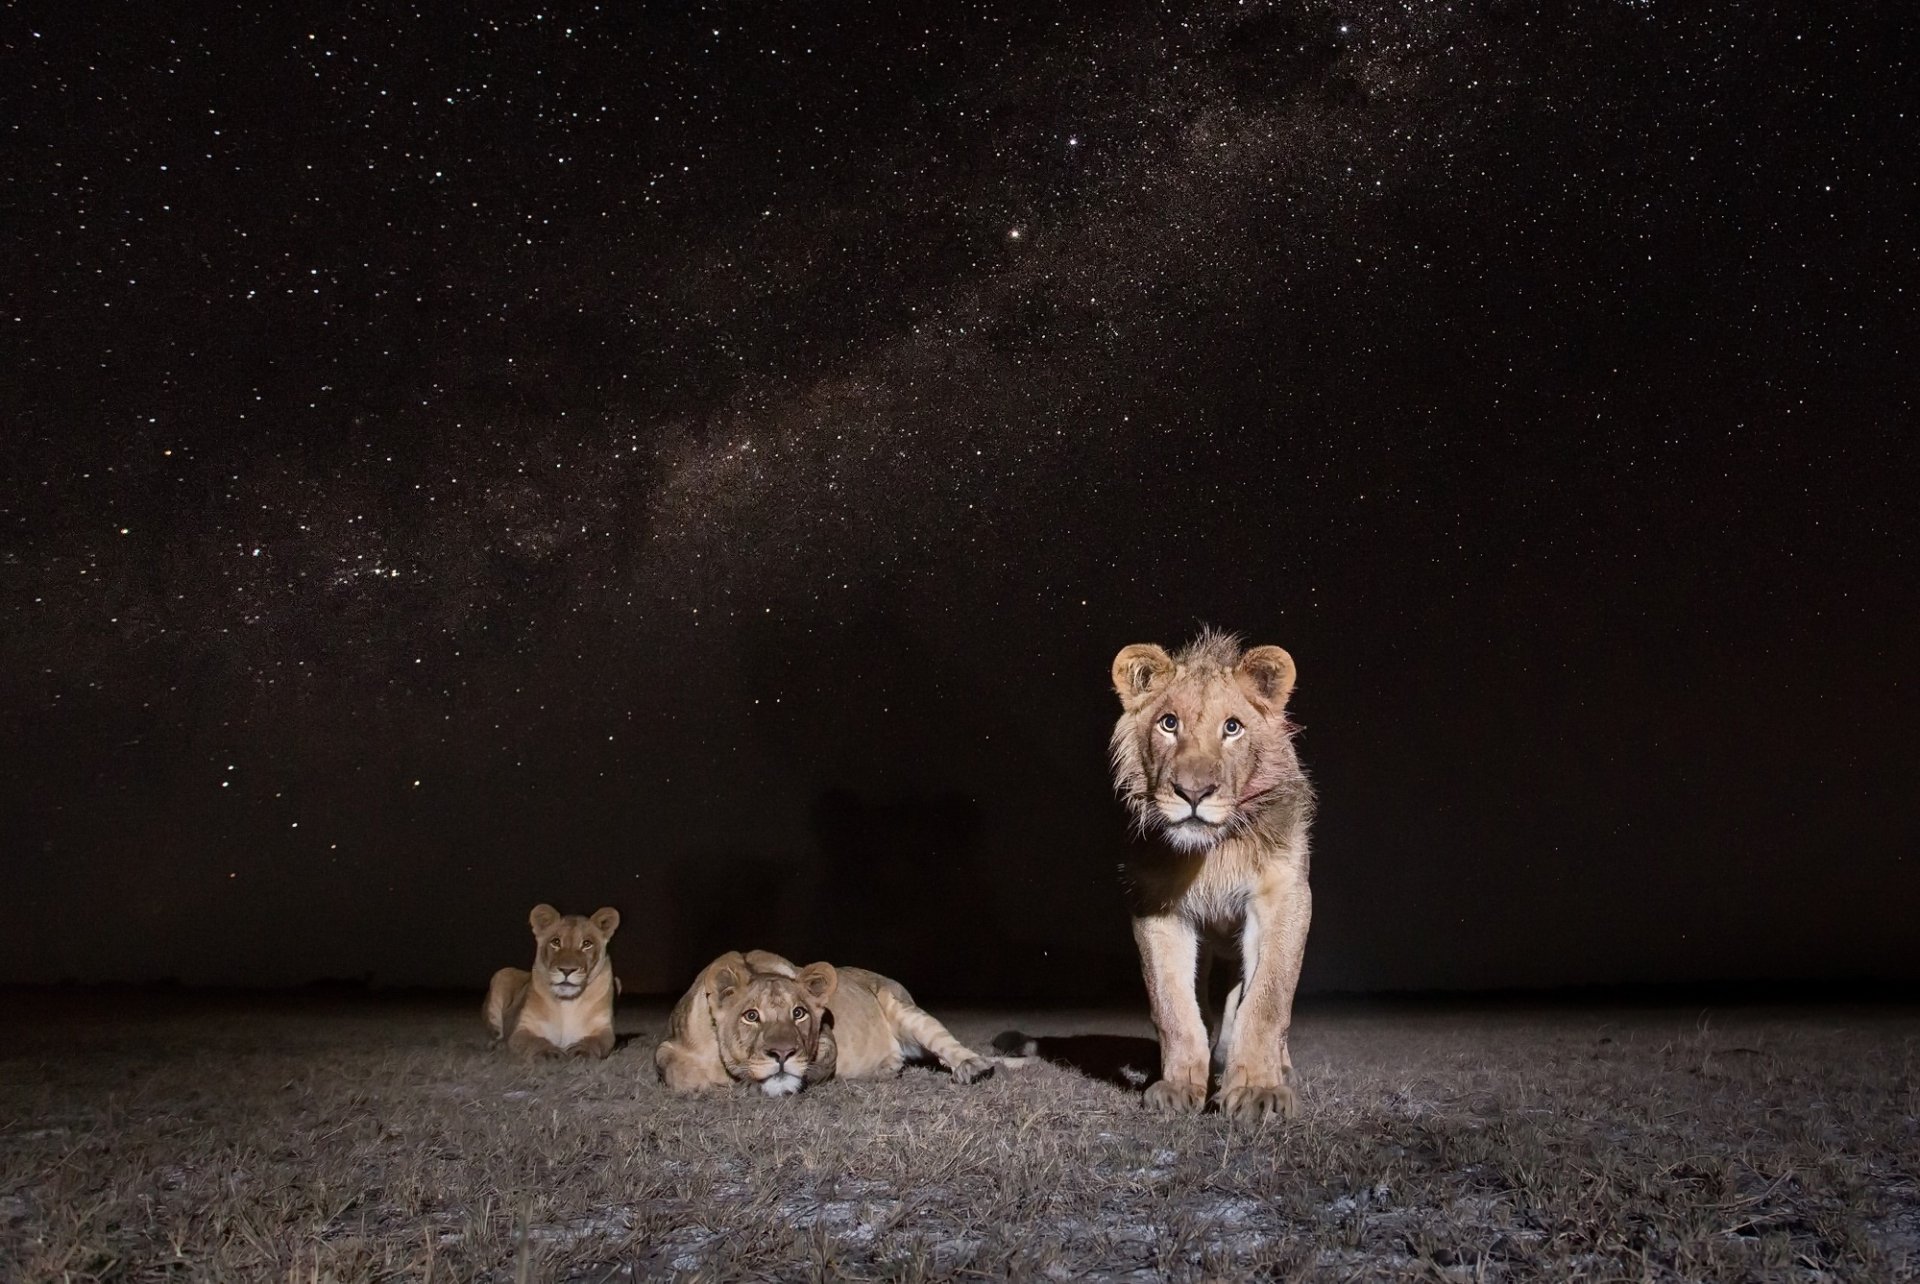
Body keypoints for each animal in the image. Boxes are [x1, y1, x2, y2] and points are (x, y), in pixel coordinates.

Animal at [484, 904, 621, 1059]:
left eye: (587, 944)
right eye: (556, 942)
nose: (567, 970)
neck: (567, 1003)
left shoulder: (603, 1029)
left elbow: (595, 1042)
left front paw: (581, 1051)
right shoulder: (522, 1029)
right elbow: (534, 1041)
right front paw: (549, 1053)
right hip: (502, 974)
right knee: (496, 1035)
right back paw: (498, 1046)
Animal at [654, 950, 993, 1096]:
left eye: (799, 1013)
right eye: (751, 1016)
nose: (782, 1054)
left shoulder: (828, 1041)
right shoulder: (667, 1045)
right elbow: (678, 1073)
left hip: (903, 1008)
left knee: (948, 1045)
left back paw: (971, 1067)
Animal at [1110, 629, 1316, 1121]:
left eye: (1232, 728)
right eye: (1168, 723)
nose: (1193, 792)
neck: (1213, 853)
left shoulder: (1282, 899)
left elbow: (1266, 1002)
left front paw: (1259, 1090)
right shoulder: (1157, 910)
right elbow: (1174, 1008)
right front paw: (1178, 1086)